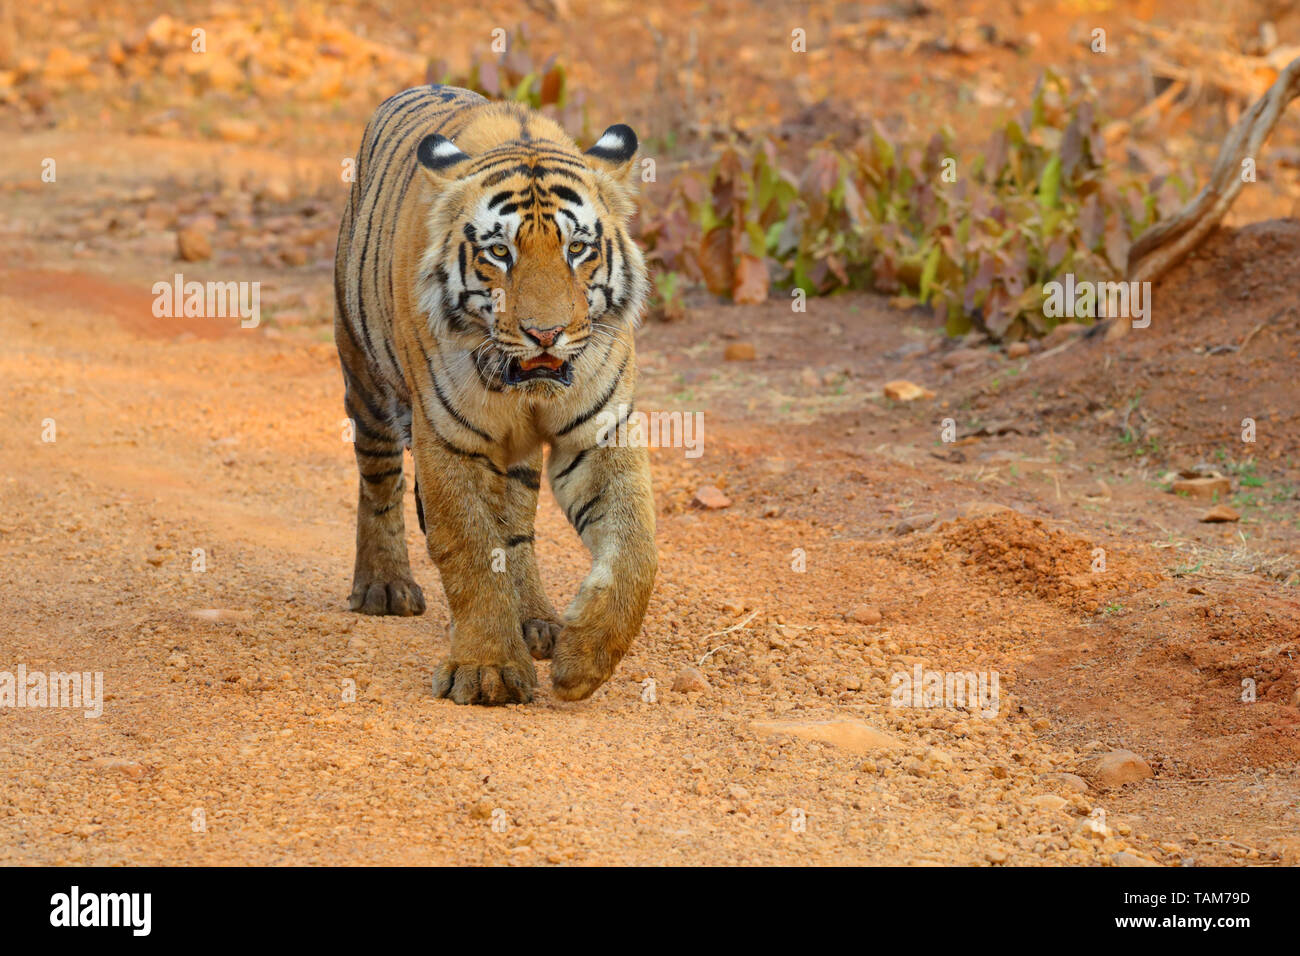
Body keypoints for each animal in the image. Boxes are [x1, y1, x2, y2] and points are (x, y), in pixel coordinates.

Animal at [333, 84, 656, 706]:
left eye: (578, 248)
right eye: (499, 253)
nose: (545, 334)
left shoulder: (600, 432)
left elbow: (636, 550)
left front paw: (583, 661)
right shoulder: (448, 438)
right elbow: (470, 550)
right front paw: (488, 670)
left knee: (517, 526)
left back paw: (537, 621)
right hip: (366, 381)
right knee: (378, 481)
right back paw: (384, 586)